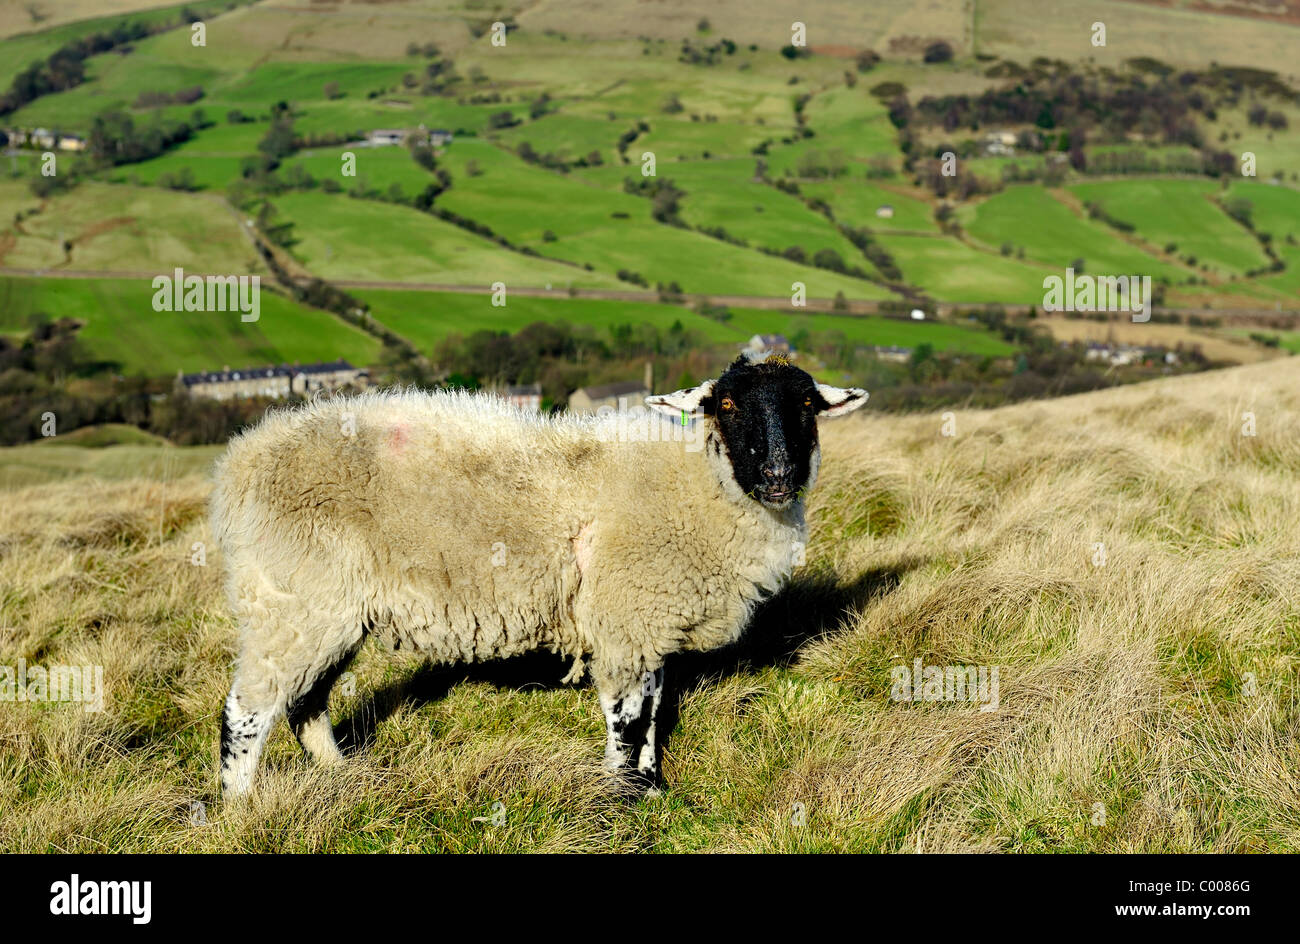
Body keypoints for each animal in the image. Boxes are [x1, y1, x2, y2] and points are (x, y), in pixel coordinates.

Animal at [212, 353, 867, 797]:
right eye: (726, 406)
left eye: (806, 406)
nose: (779, 476)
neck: (701, 486)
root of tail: (242, 458)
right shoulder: (626, 618)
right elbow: (629, 719)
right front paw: (619, 795)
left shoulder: (648, 623)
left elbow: (655, 709)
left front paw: (651, 784)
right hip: (290, 597)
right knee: (247, 710)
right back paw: (242, 806)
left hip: (333, 610)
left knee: (307, 699)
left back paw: (340, 775)